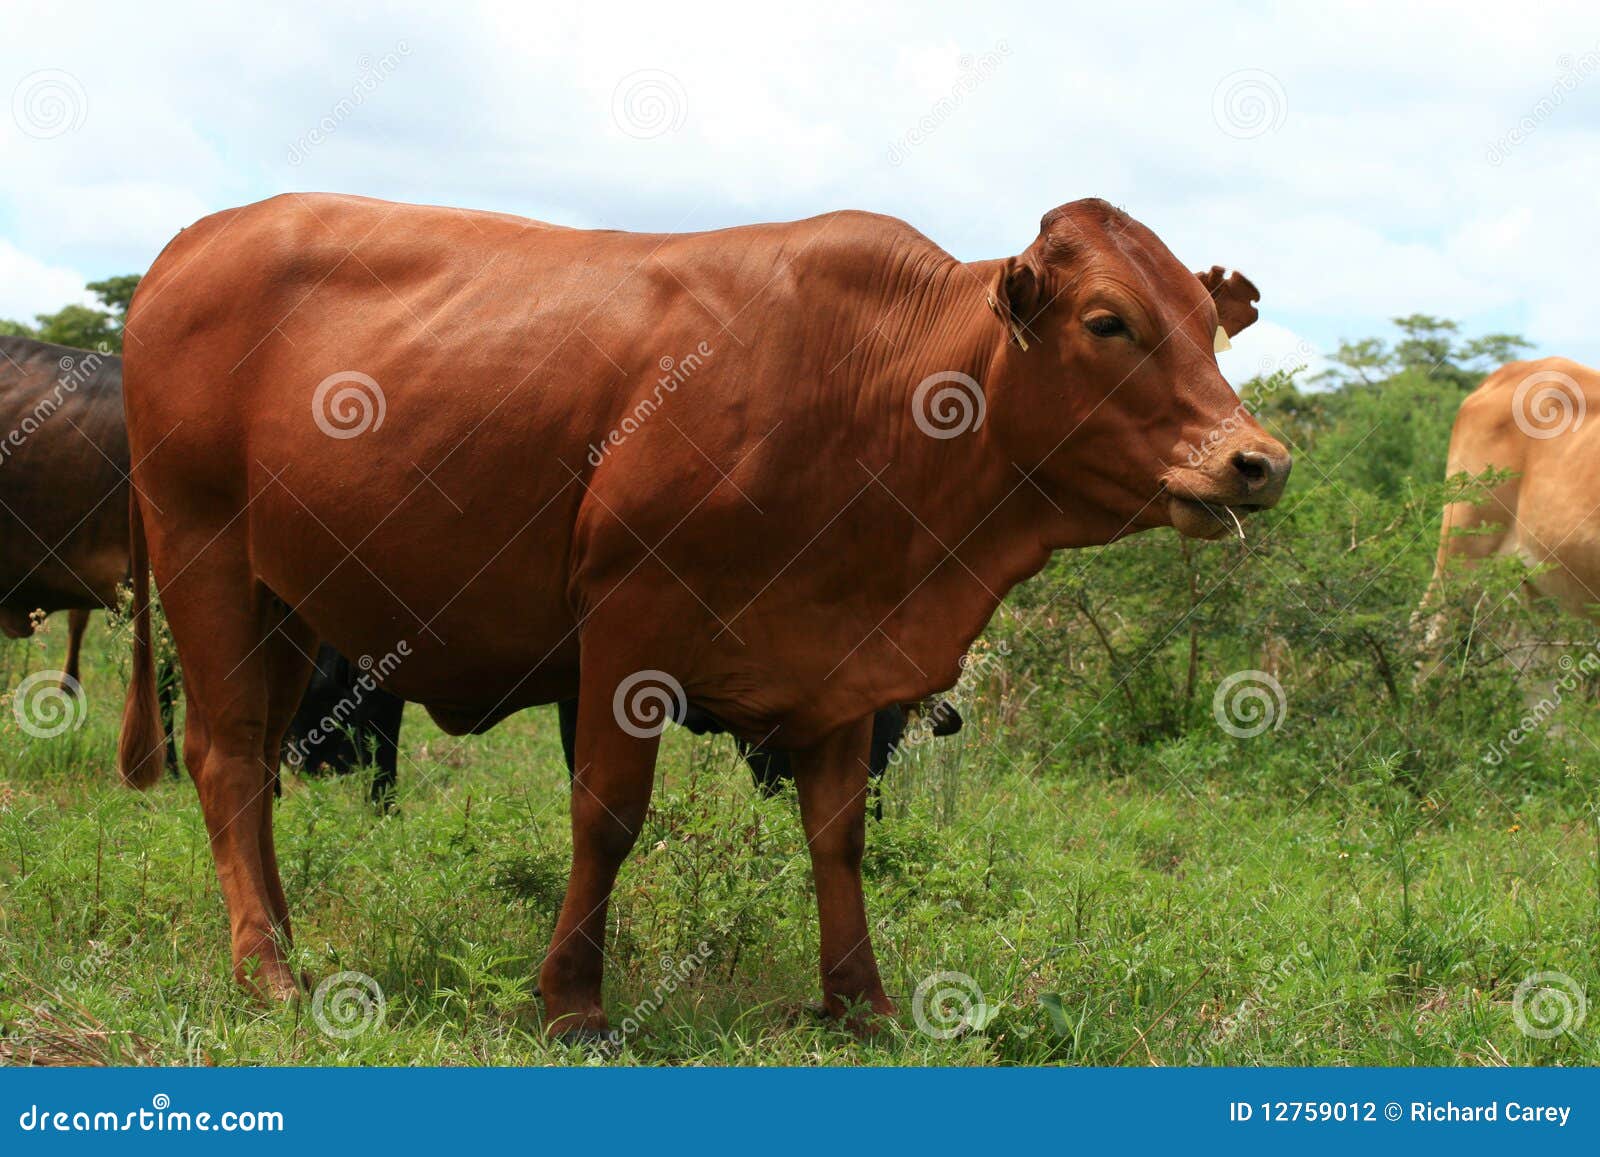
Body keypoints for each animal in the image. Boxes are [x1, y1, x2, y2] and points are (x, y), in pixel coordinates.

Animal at [116, 193, 1290, 1041]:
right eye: (1108, 322)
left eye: (1207, 329)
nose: (1258, 460)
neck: (880, 388)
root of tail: (193, 240)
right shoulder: (628, 628)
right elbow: (607, 814)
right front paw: (573, 1000)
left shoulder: (843, 667)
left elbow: (837, 835)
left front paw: (859, 1001)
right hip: (205, 559)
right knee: (226, 755)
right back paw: (265, 969)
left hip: (288, 602)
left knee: (260, 767)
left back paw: (283, 936)